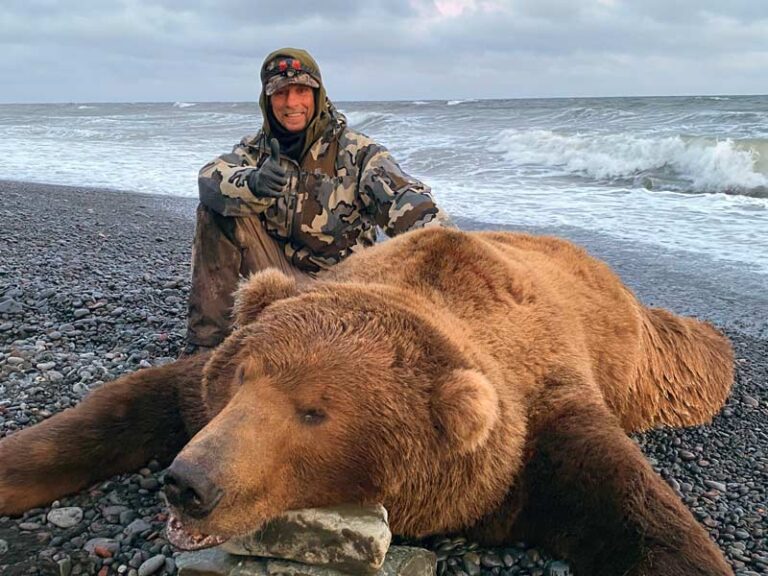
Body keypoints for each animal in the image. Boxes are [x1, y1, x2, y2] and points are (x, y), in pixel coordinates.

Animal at [0, 227, 735, 576]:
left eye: (315, 412)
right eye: (243, 378)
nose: (190, 483)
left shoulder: (540, 435)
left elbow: (636, 512)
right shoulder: (201, 393)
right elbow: (123, 405)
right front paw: (13, 467)